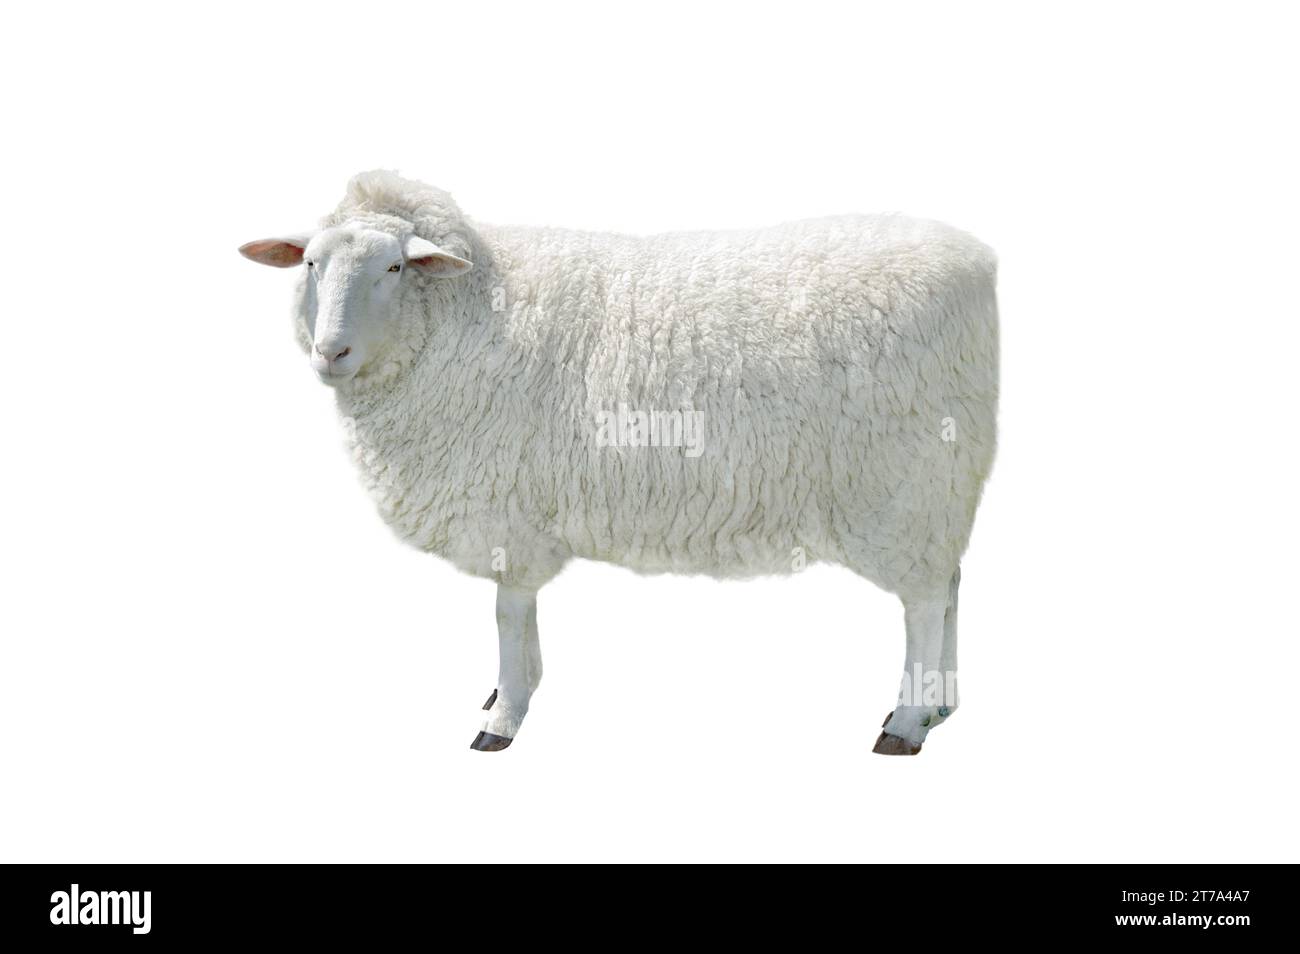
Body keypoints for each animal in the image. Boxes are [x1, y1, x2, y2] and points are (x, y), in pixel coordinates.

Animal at [240, 170, 998, 755]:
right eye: (311, 264)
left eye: (395, 266)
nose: (330, 352)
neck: (464, 314)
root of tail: (976, 262)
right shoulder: (527, 514)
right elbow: (521, 618)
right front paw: (515, 686)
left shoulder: (509, 507)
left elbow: (507, 613)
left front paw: (504, 718)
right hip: (939, 489)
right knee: (952, 585)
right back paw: (941, 705)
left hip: (905, 485)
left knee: (924, 604)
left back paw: (906, 722)